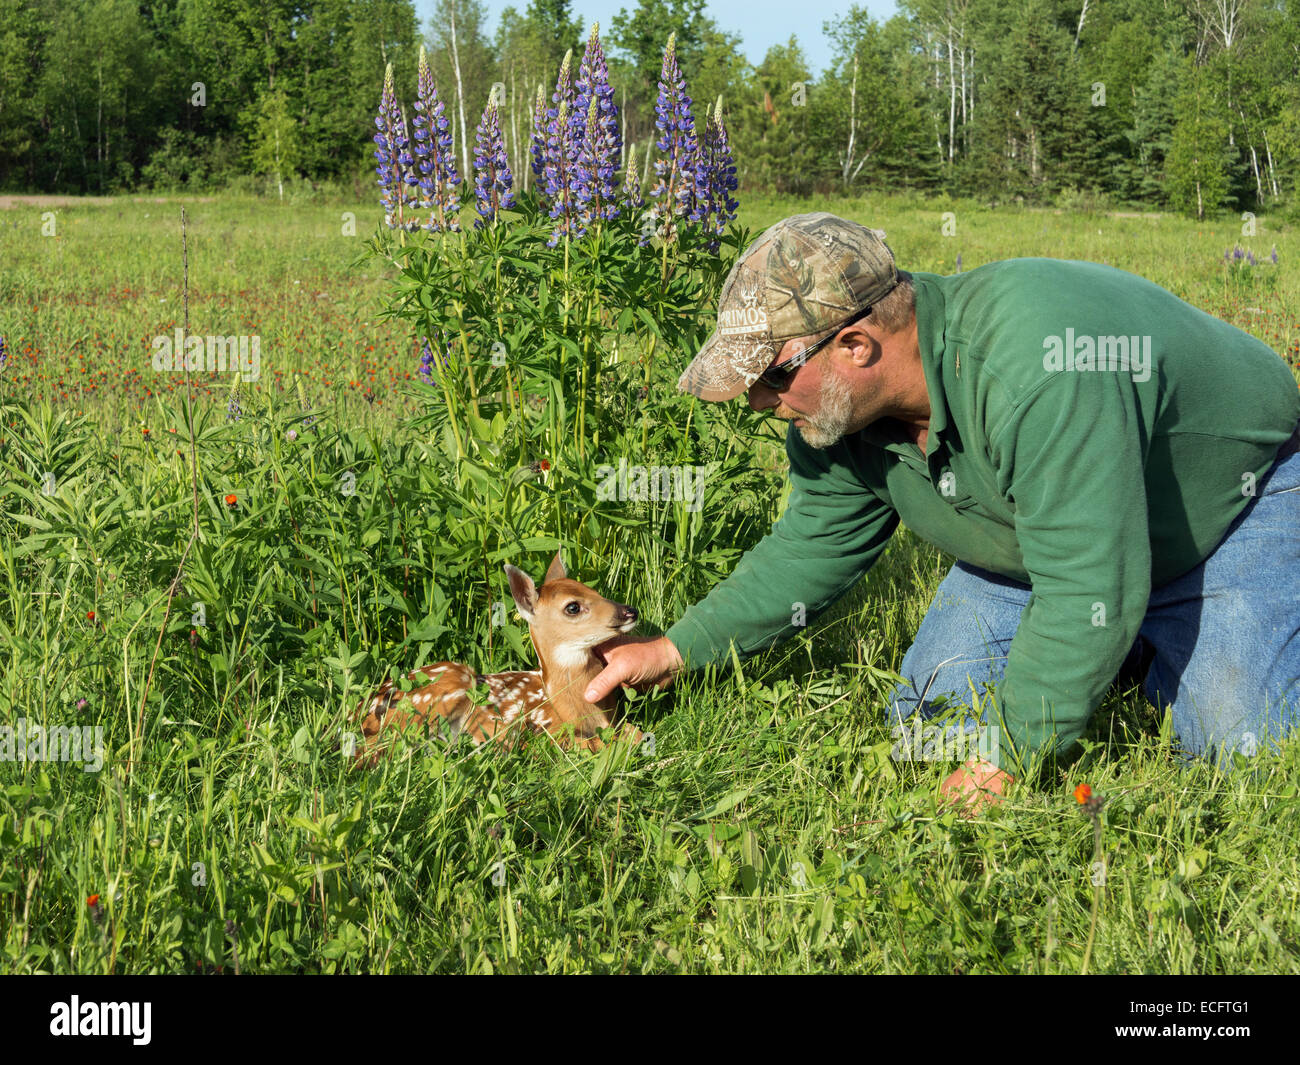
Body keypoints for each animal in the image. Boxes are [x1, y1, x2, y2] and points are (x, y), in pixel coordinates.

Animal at [355, 552, 642, 763]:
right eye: (573, 607)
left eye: (593, 591)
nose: (630, 611)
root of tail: (357, 713)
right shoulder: (548, 731)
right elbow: (590, 744)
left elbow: (633, 733)